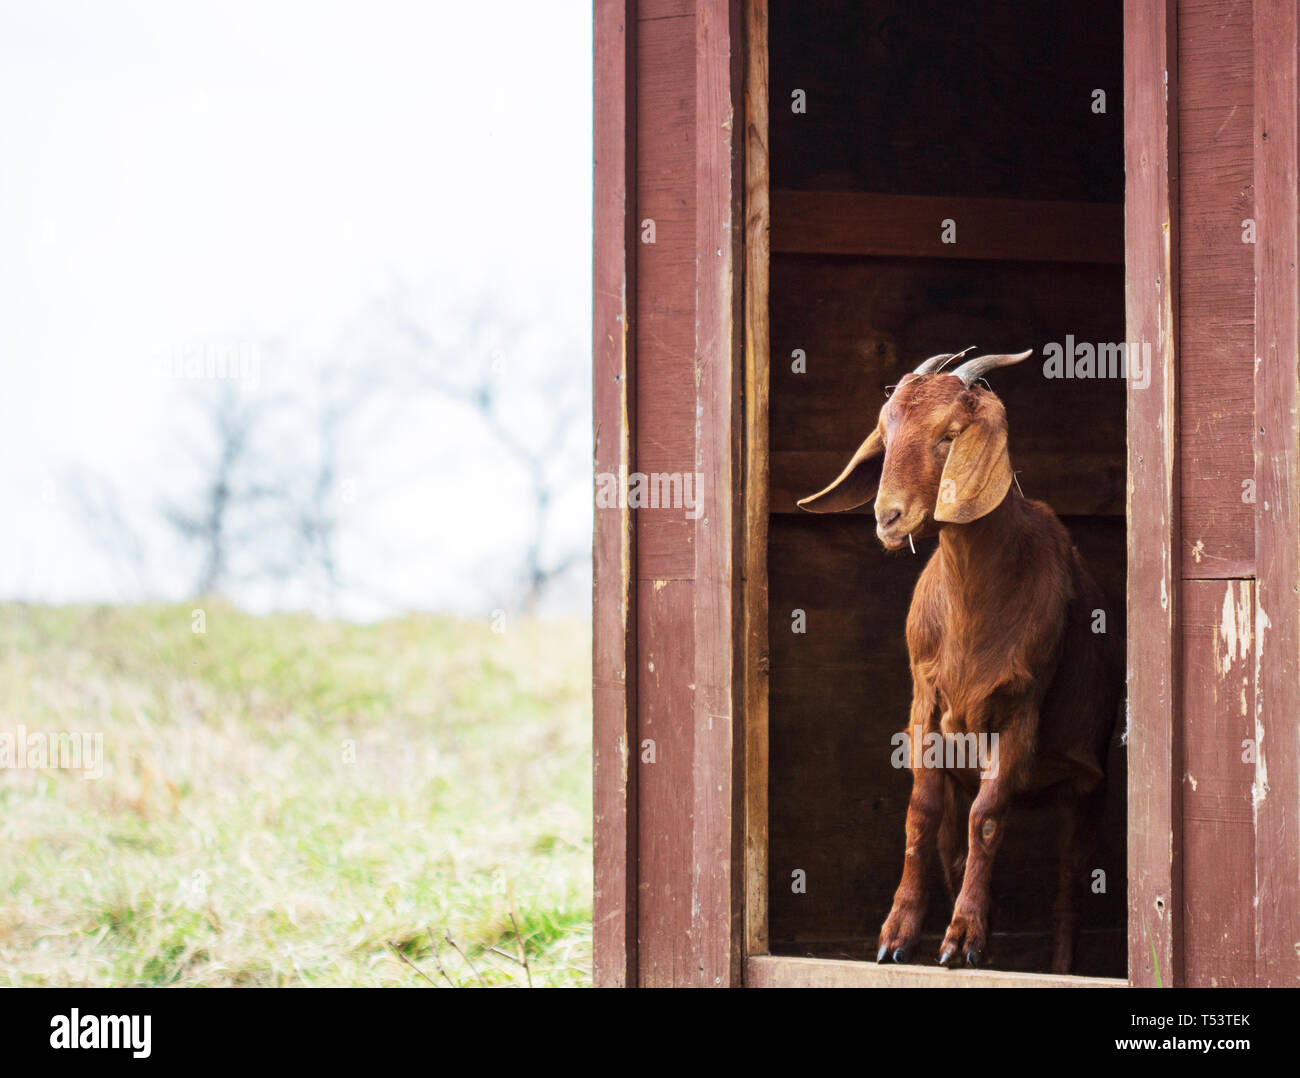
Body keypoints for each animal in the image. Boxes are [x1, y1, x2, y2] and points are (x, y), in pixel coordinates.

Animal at [797, 347, 1122, 974]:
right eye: (885, 436)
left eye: (949, 436)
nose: (888, 517)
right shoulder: (925, 705)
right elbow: (921, 813)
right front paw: (900, 934)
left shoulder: (1021, 710)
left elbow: (988, 817)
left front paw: (963, 935)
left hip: (1087, 784)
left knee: (1068, 893)